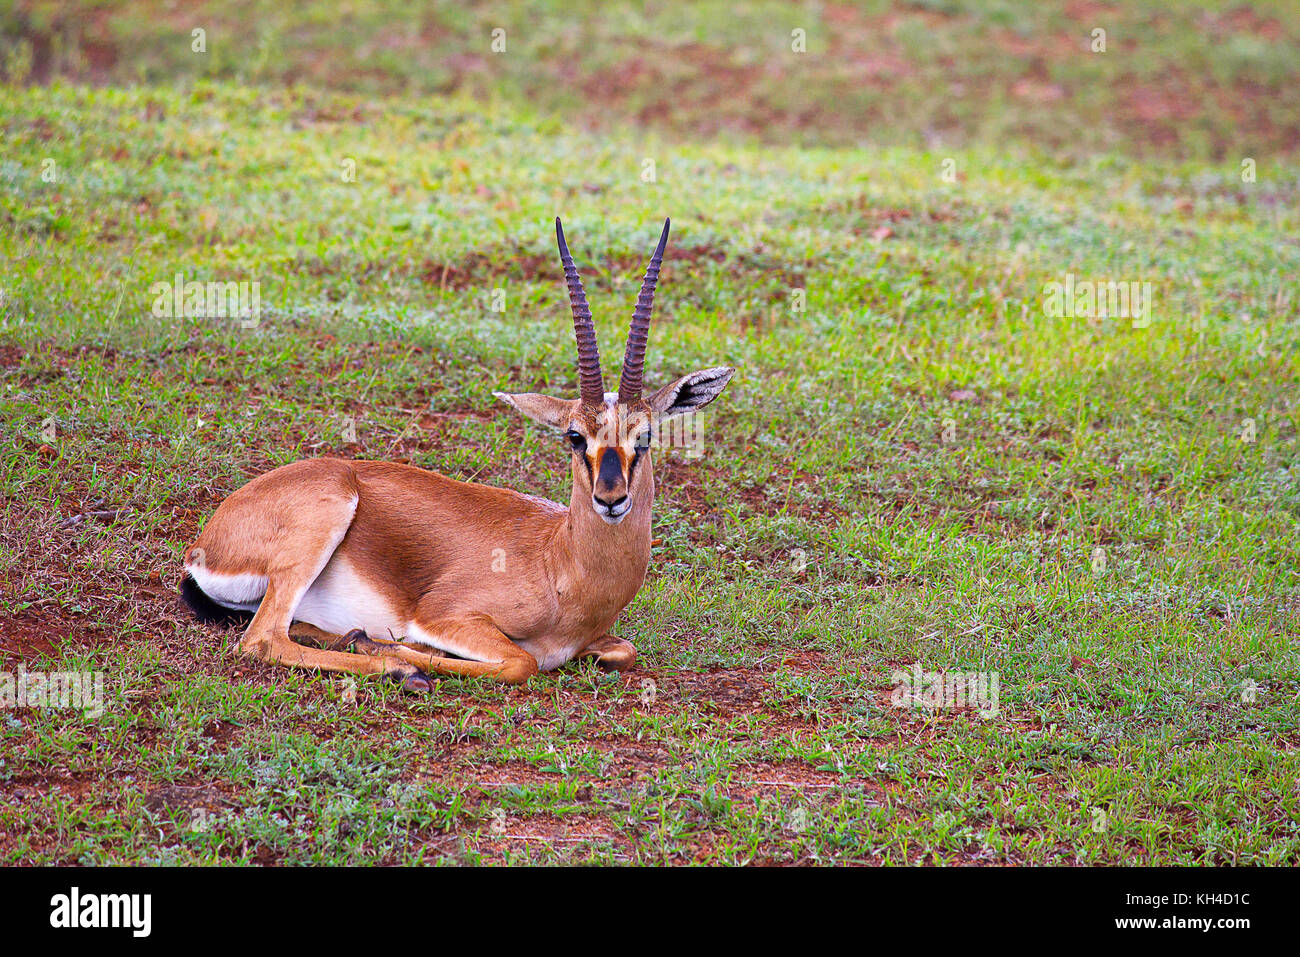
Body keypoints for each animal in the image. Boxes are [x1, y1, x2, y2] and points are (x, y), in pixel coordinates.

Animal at [180, 218, 734, 689]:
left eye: (645, 436)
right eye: (575, 436)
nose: (611, 498)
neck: (560, 564)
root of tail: (206, 542)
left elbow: (624, 650)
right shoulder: (444, 615)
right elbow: (520, 661)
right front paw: (395, 651)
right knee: (263, 640)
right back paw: (393, 665)